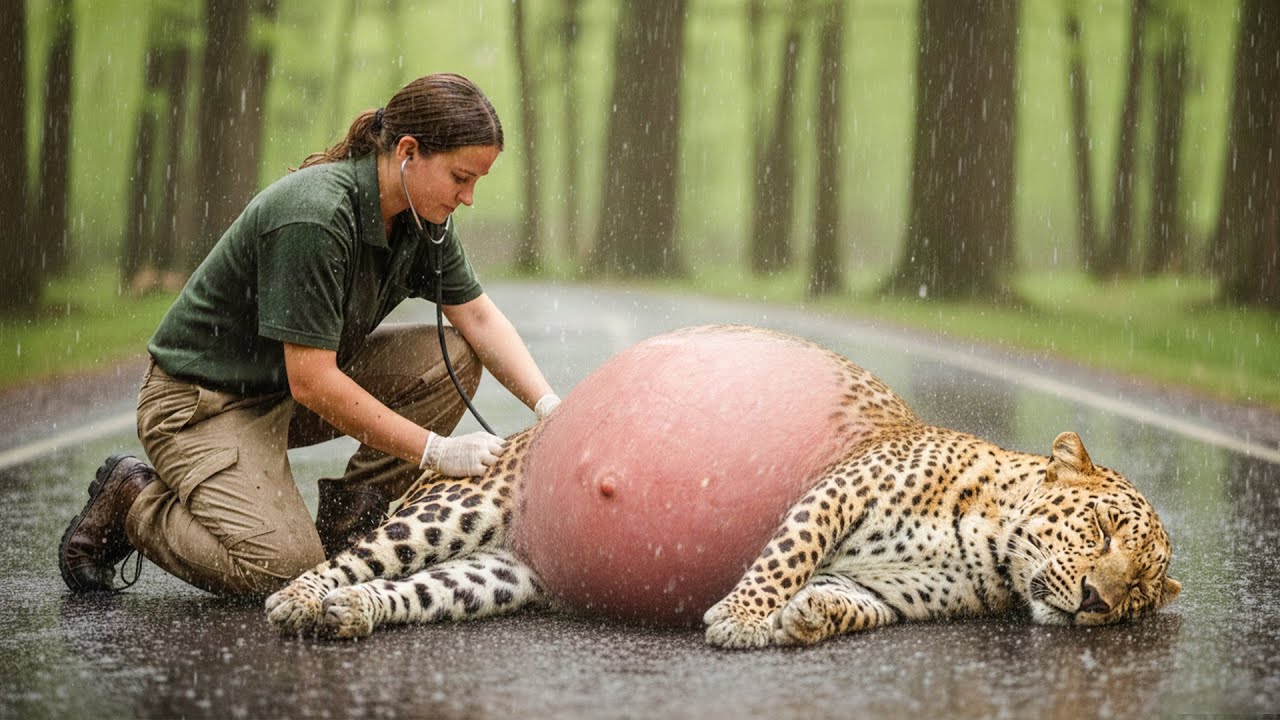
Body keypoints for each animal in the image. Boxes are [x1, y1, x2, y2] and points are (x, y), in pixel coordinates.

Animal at [265, 325, 1181, 648]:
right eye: (1100, 532)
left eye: (1138, 590)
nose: (1096, 602)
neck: (989, 547)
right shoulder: (839, 491)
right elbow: (786, 555)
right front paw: (742, 618)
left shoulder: (895, 592)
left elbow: (847, 602)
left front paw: (806, 620)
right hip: (461, 505)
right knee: (356, 557)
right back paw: (300, 599)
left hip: (501, 573)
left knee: (415, 591)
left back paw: (351, 615)